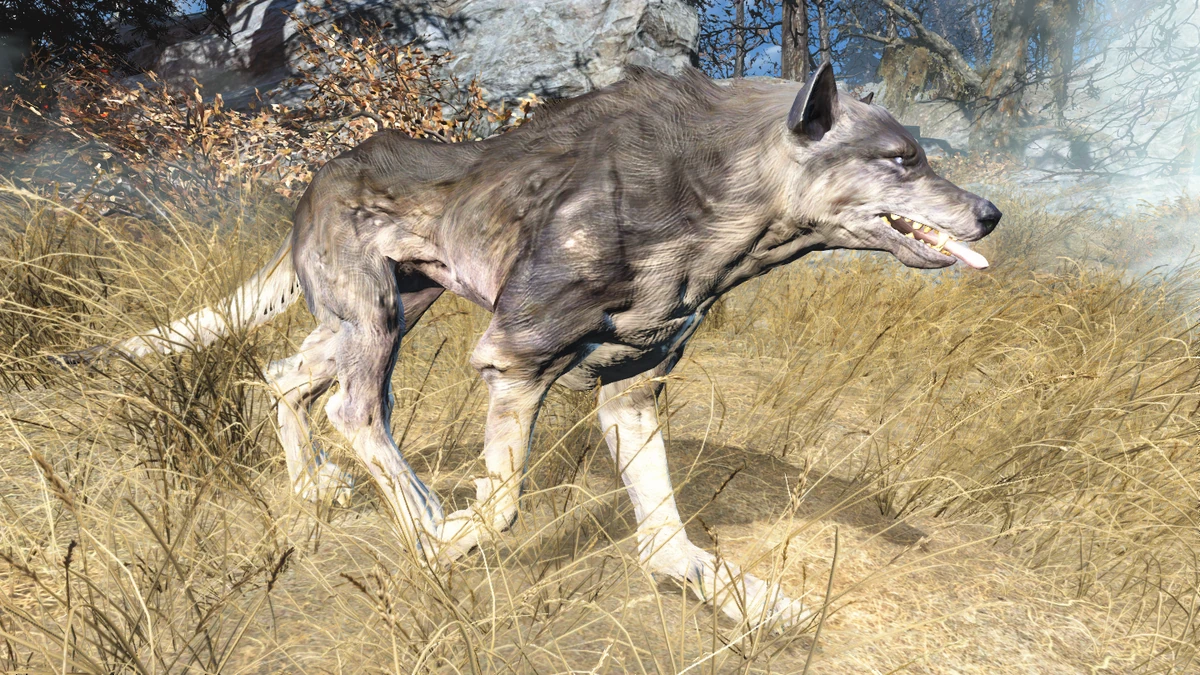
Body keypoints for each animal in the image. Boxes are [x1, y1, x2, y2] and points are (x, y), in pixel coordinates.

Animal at [73, 63, 1000, 628]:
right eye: (902, 160)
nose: (990, 212)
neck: (715, 196)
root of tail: (320, 174)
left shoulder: (634, 390)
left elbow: (666, 535)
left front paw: (749, 602)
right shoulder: (513, 359)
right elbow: (504, 505)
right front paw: (448, 540)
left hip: (378, 314)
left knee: (283, 375)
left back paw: (311, 485)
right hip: (373, 324)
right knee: (353, 410)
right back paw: (417, 516)